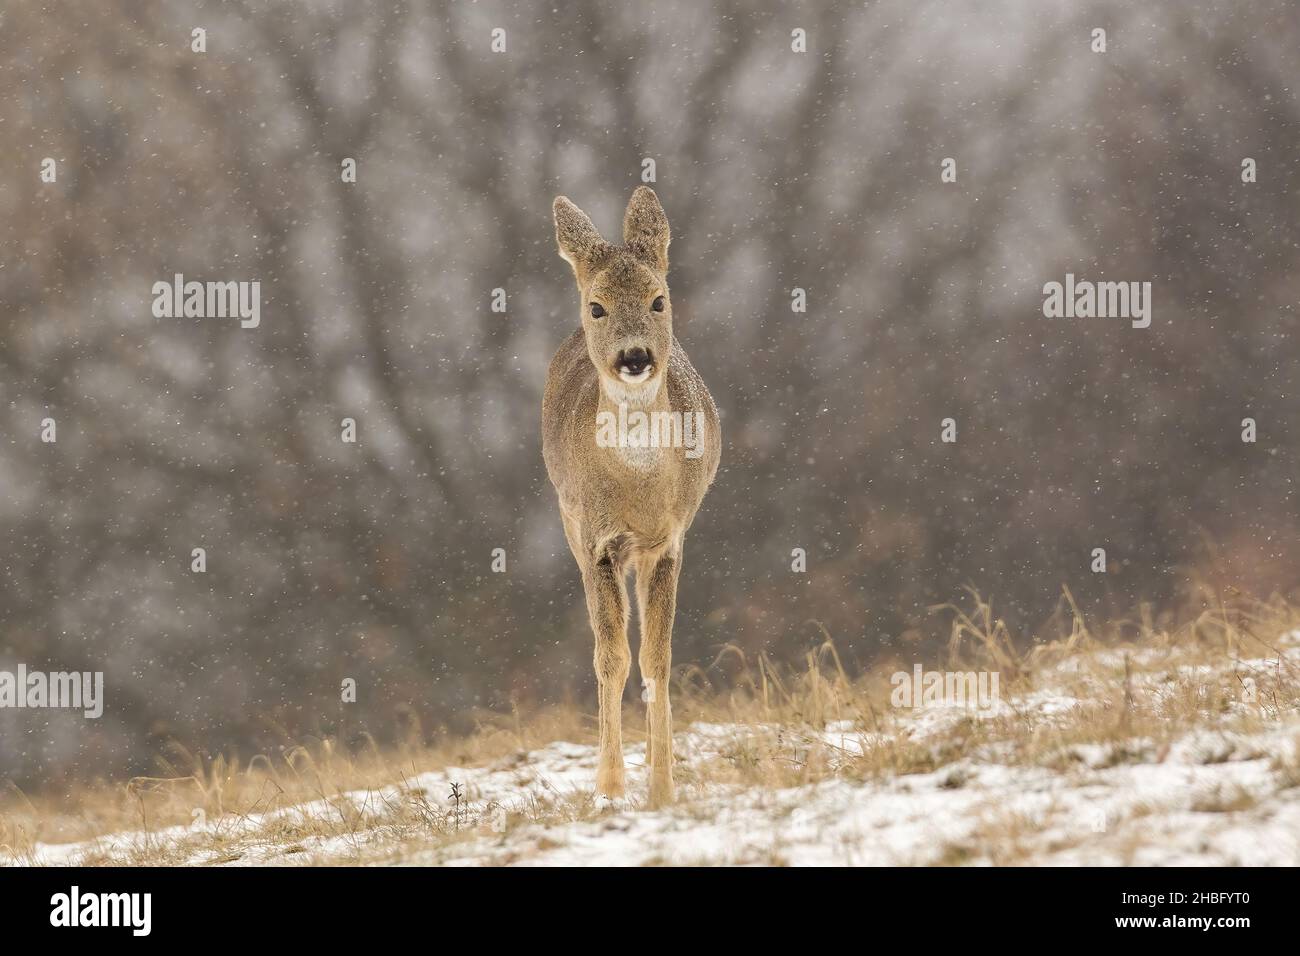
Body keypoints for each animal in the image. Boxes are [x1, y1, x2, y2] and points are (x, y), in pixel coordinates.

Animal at [542, 186, 720, 808]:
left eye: (658, 300)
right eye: (597, 306)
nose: (635, 356)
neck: (637, 489)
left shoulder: (669, 540)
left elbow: (657, 658)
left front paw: (663, 786)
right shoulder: (596, 541)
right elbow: (611, 657)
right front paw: (611, 786)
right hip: (571, 527)